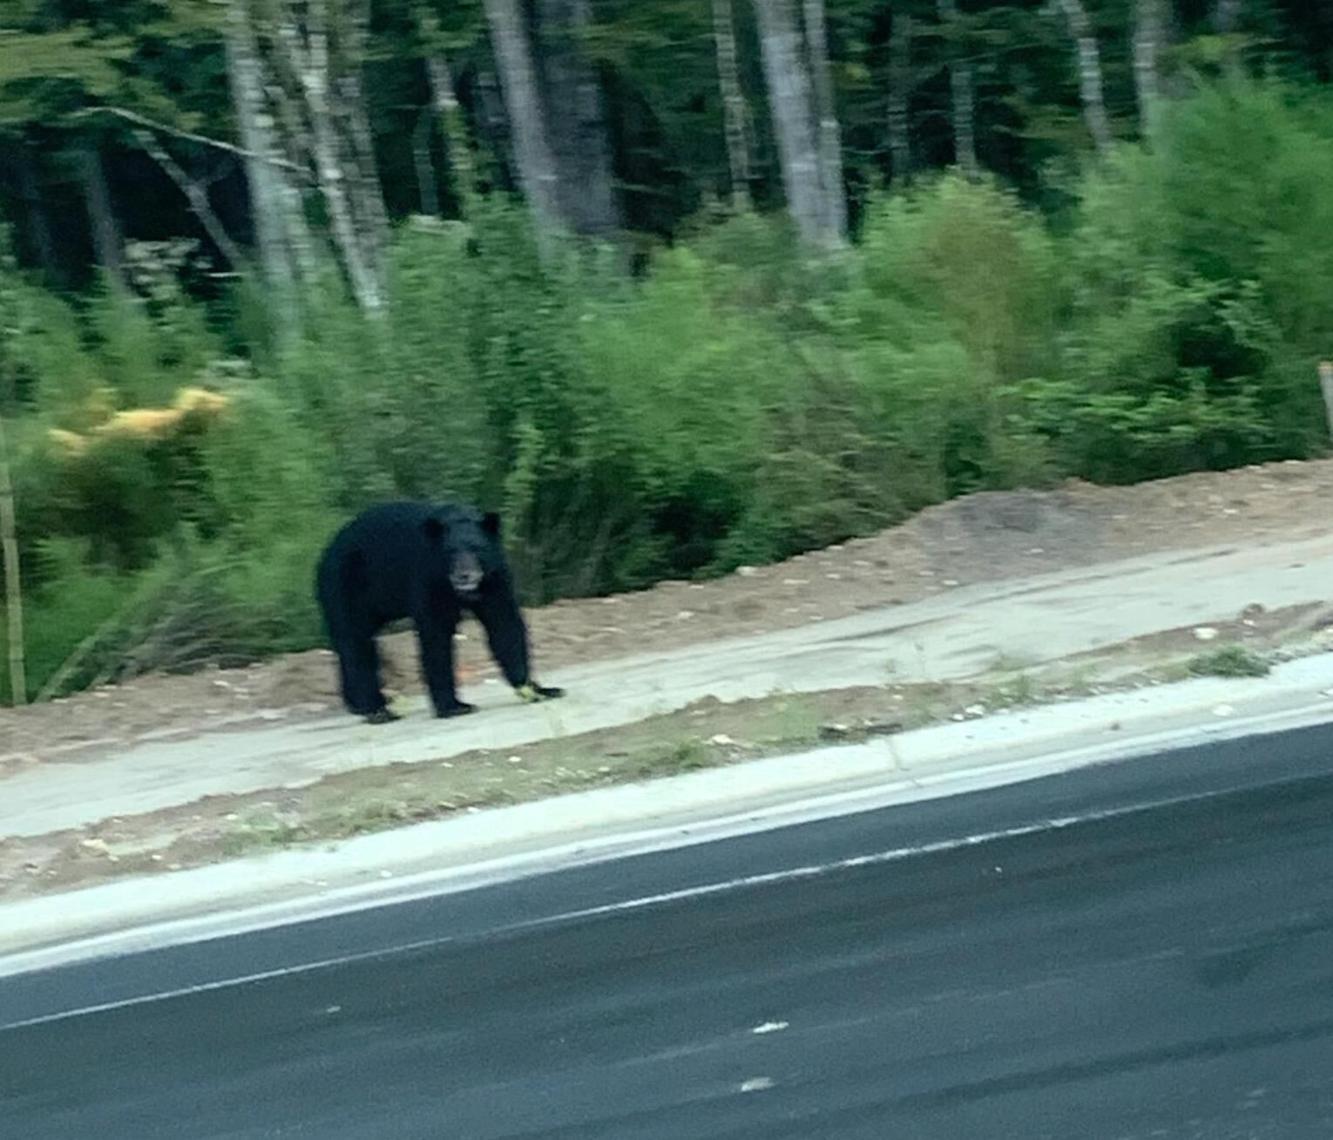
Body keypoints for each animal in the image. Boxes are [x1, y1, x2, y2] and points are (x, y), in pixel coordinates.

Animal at [315, 501, 564, 724]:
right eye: (451, 551)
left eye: (476, 548)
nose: (464, 575)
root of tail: (326, 552)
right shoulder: (428, 576)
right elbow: (436, 636)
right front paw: (454, 706)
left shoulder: (495, 578)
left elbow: (504, 625)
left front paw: (539, 690)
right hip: (346, 585)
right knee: (355, 641)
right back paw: (377, 710)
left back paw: (357, 704)